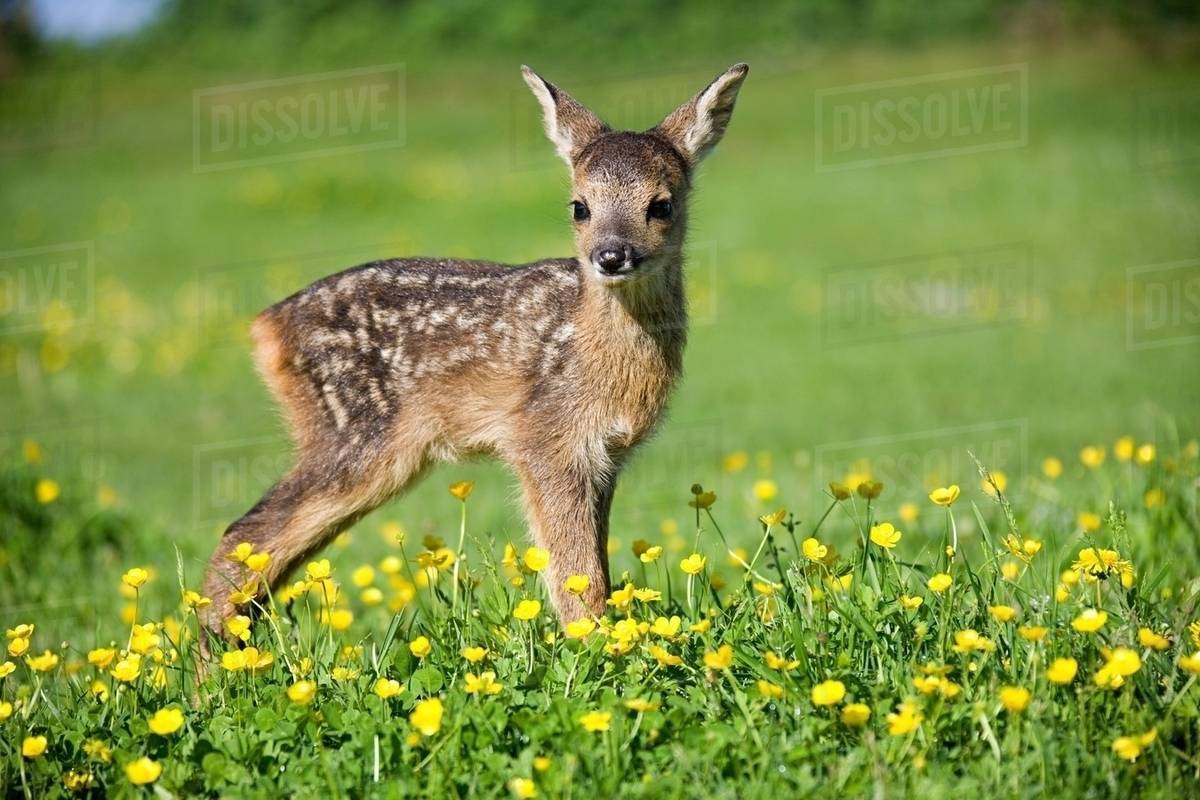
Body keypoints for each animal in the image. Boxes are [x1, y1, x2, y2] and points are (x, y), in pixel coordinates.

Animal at [198, 63, 749, 658]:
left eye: (661, 204)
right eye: (579, 206)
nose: (611, 255)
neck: (596, 354)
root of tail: (265, 326)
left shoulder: (606, 455)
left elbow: (594, 564)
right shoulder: (544, 439)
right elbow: (576, 574)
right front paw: (597, 651)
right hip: (357, 437)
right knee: (242, 536)